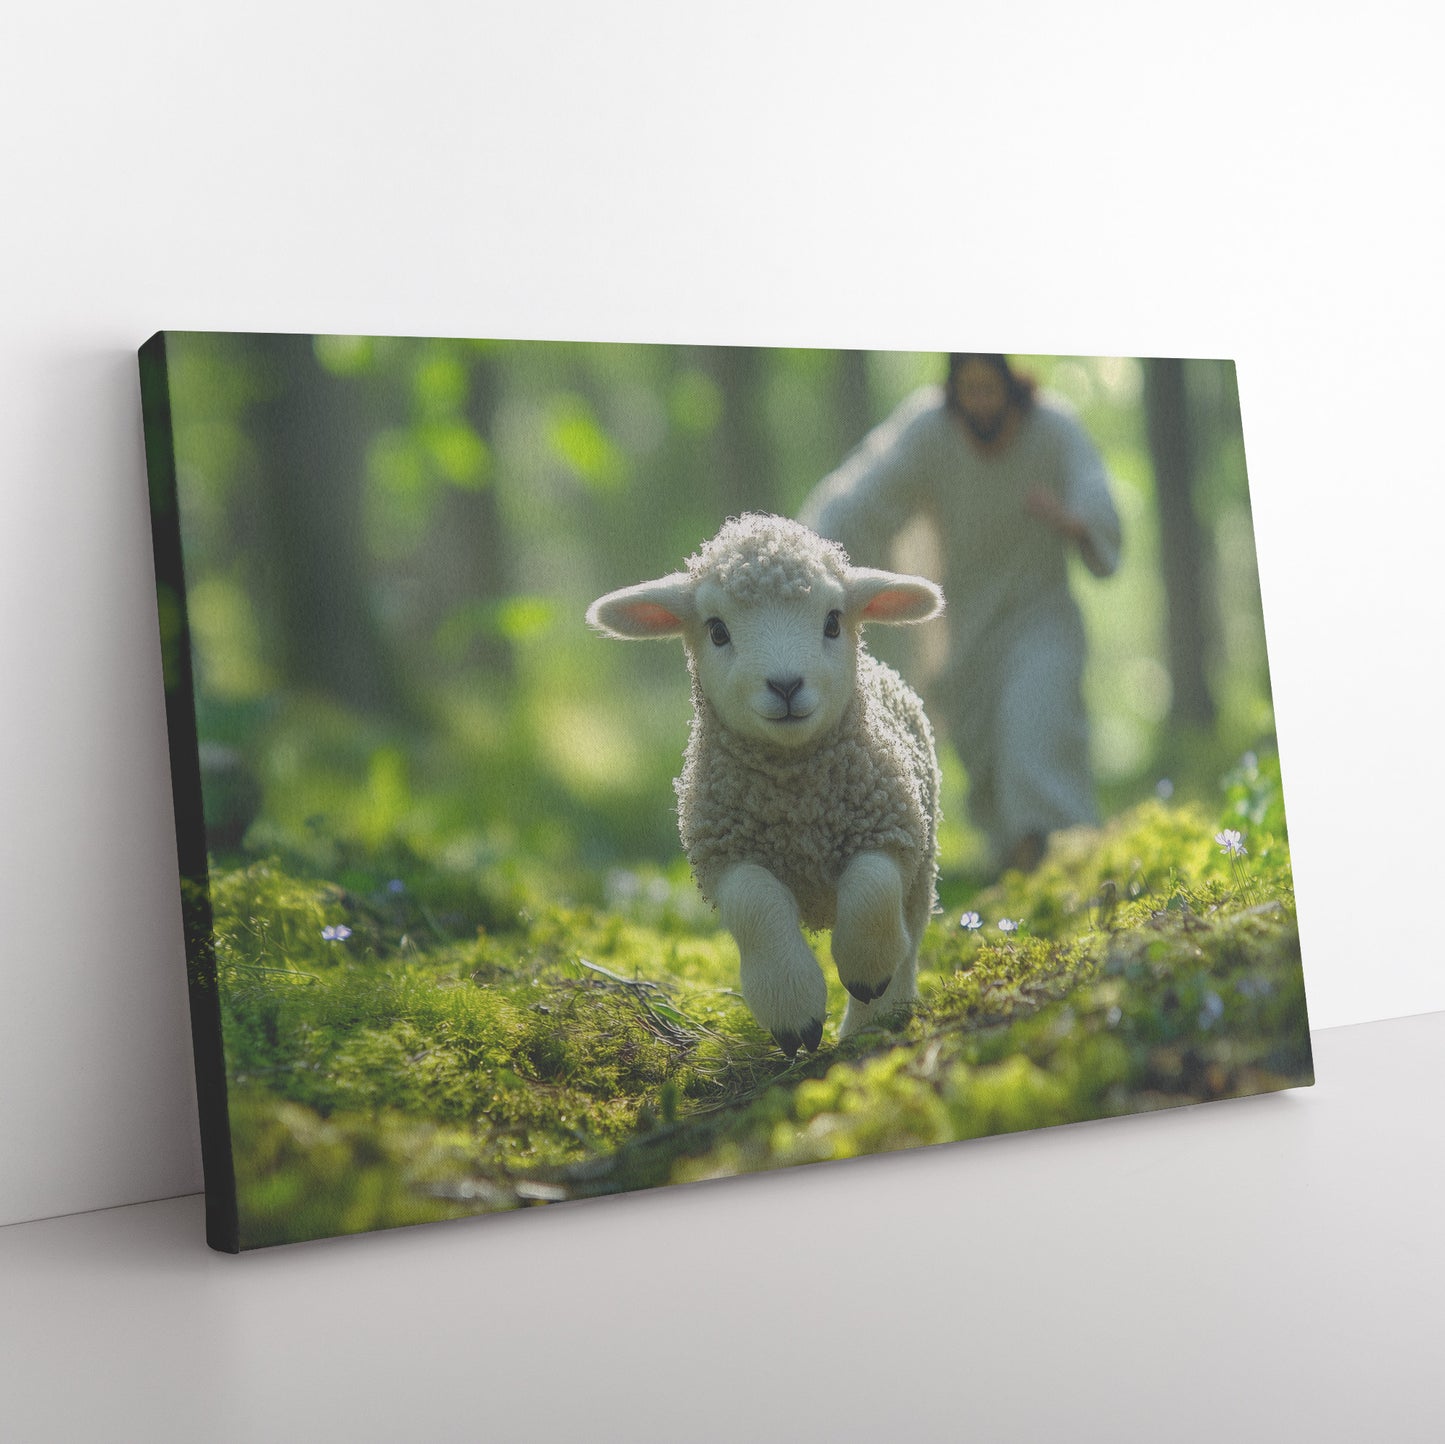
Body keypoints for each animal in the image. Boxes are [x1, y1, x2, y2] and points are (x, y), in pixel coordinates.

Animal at [587, 513, 945, 1057]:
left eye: (832, 621)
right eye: (717, 630)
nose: (786, 685)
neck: (795, 797)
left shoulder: (891, 826)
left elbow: (872, 888)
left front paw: (866, 971)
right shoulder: (726, 853)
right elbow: (756, 906)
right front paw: (793, 1013)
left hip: (924, 864)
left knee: (909, 935)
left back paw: (876, 1023)